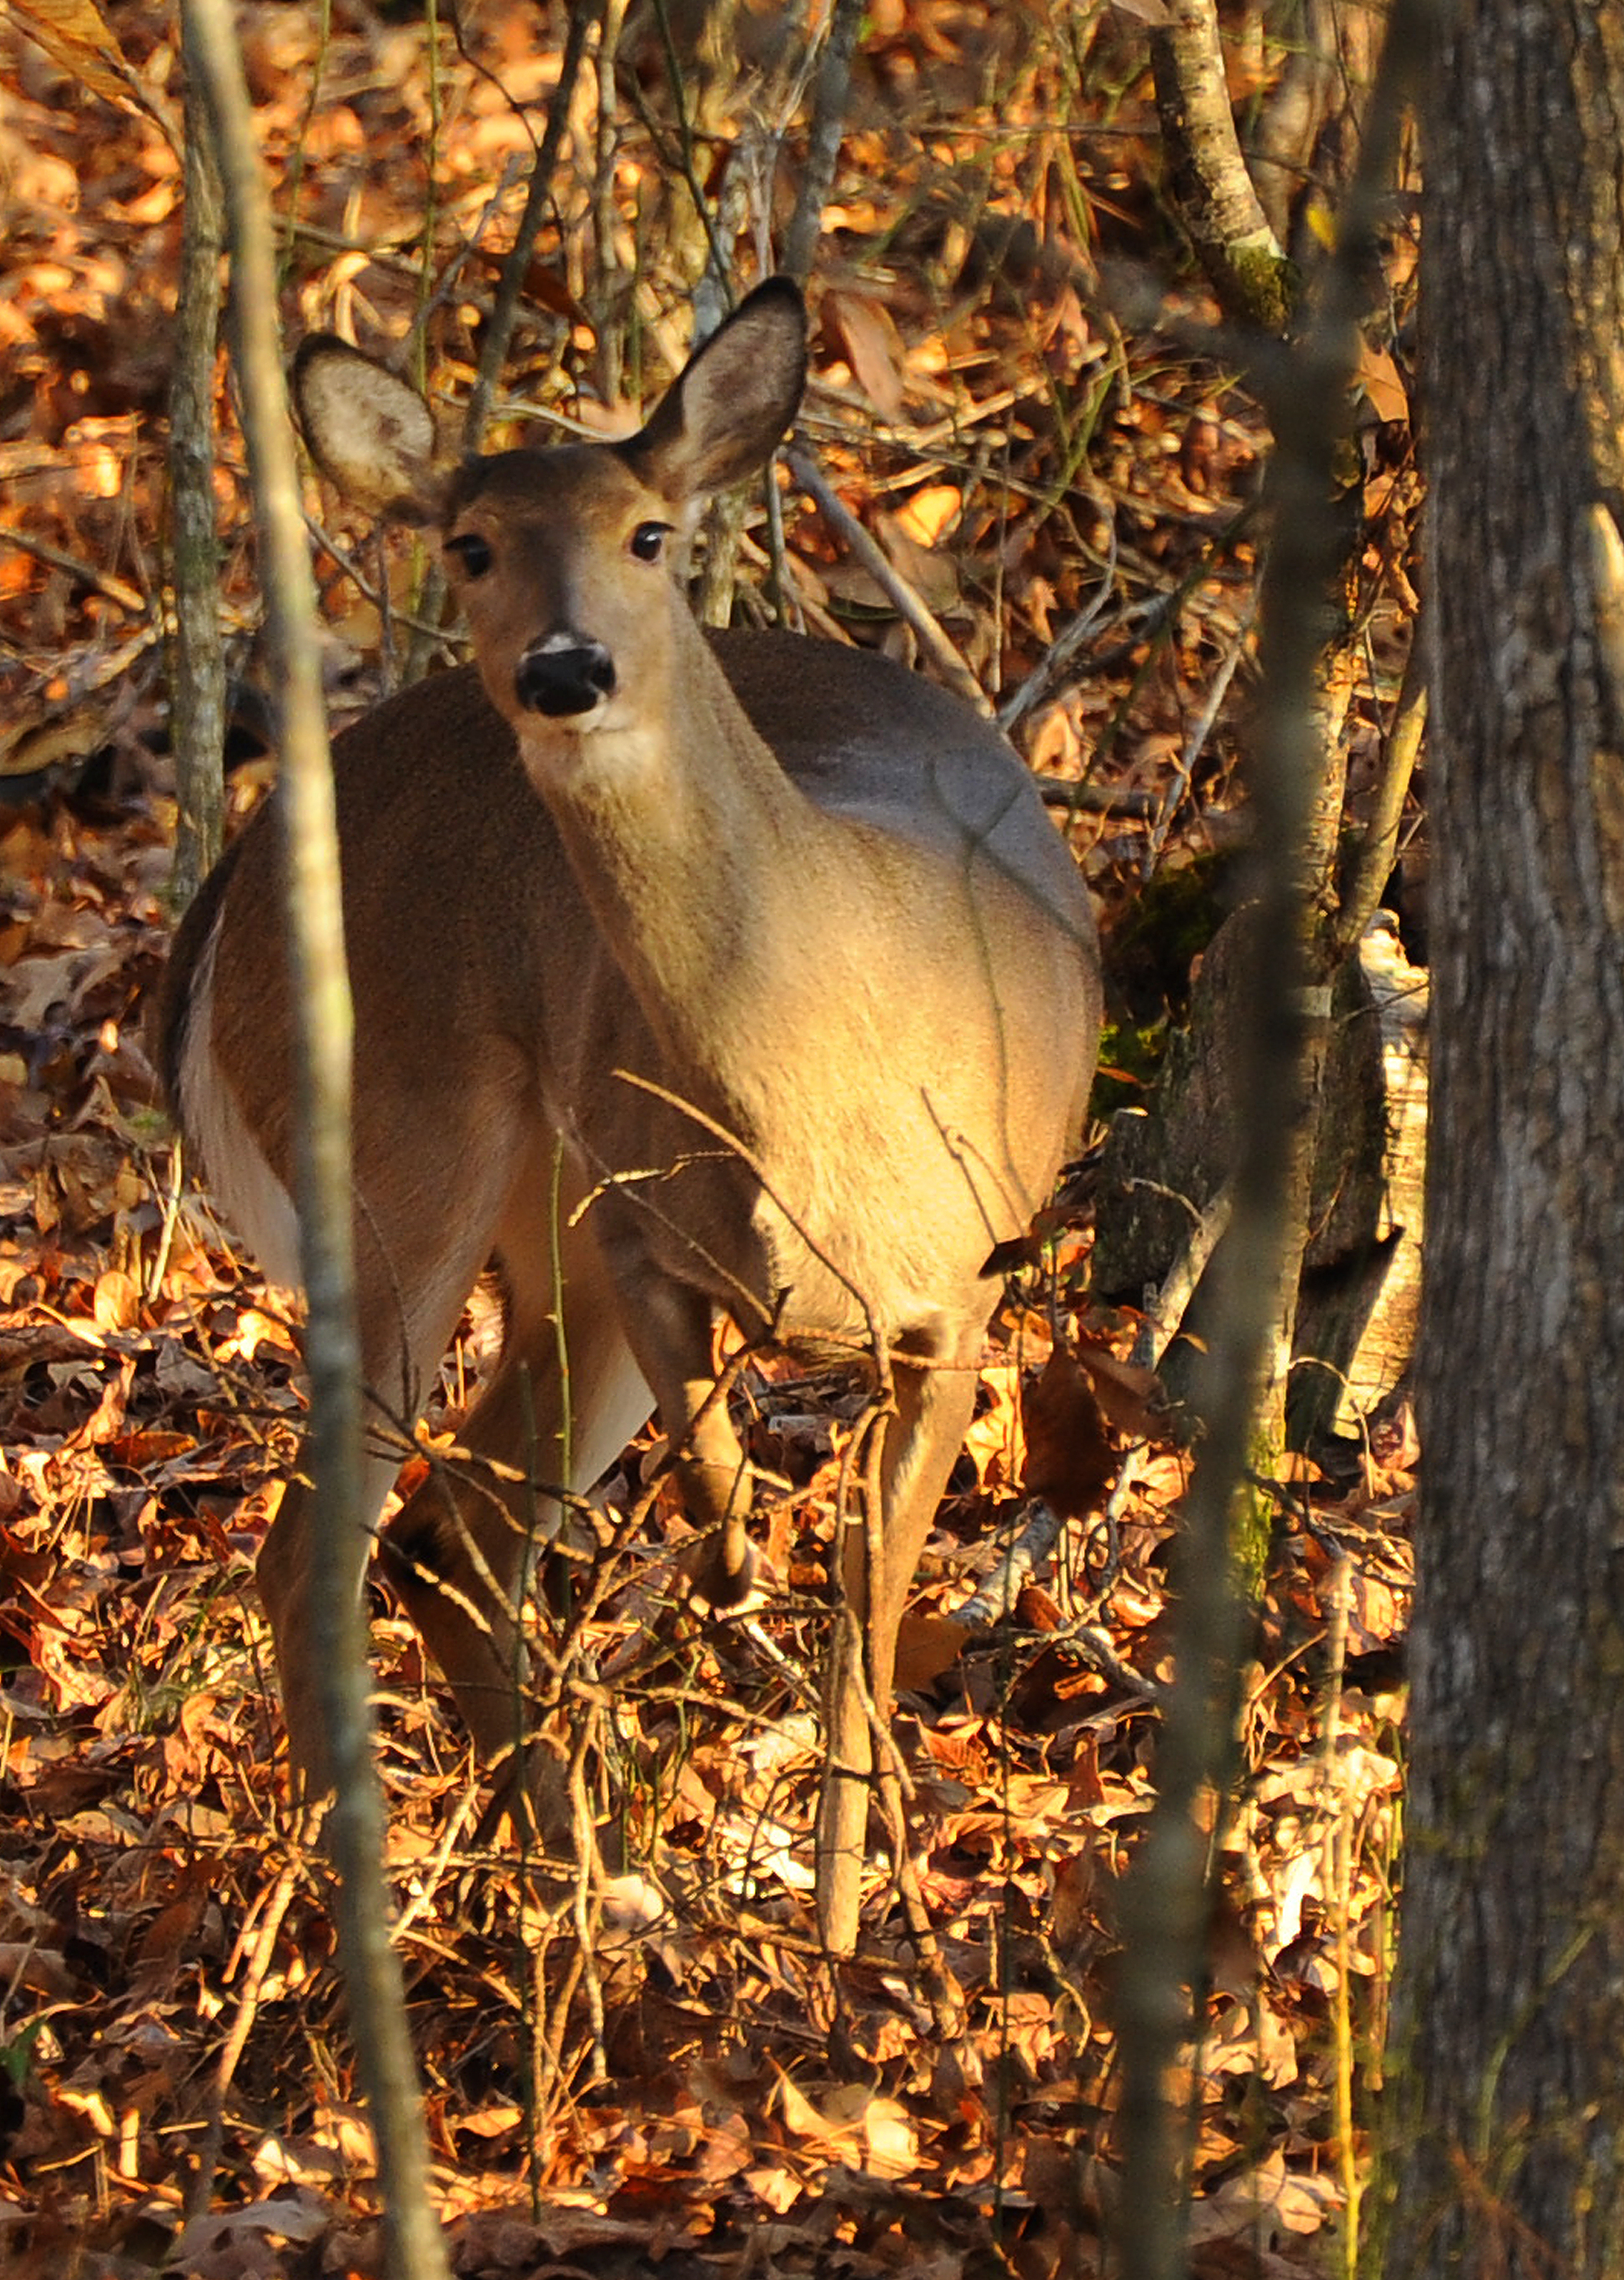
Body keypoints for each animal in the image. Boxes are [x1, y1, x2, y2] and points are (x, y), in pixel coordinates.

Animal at [161, 279, 1101, 1957]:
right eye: (470, 542)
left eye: (650, 531)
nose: (564, 669)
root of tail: (229, 899)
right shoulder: (641, 1225)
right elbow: (764, 1508)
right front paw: (730, 1570)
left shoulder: (957, 1293)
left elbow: (868, 1623)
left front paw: (846, 1932)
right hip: (408, 1156)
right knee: (323, 1545)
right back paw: (393, 1912)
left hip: (531, 1240)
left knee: (455, 1529)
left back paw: (581, 1888)